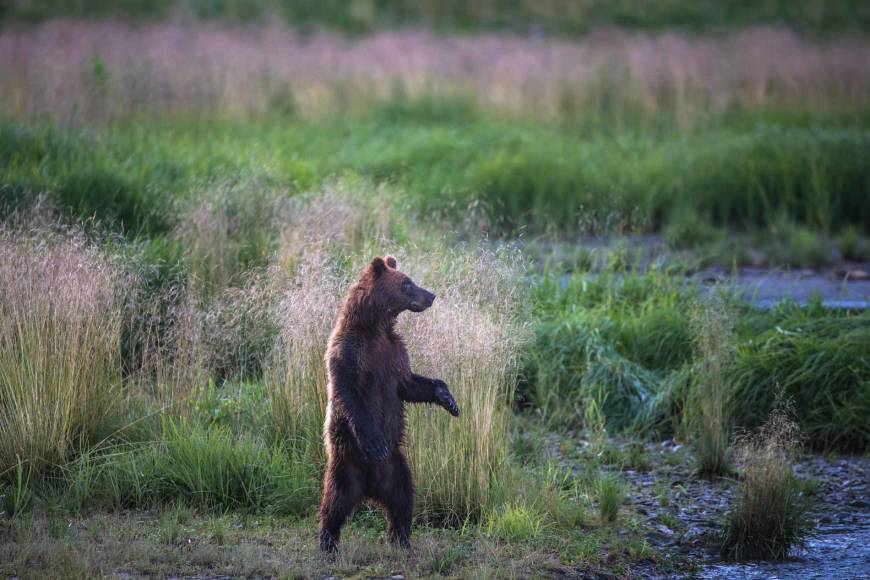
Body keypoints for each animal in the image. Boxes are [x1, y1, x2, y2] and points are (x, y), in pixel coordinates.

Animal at [318, 255, 460, 553]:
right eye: (407, 283)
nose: (431, 295)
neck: (376, 325)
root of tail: (370, 488)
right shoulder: (349, 352)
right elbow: (350, 394)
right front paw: (376, 443)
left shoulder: (394, 353)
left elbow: (409, 385)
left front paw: (449, 400)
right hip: (347, 463)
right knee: (334, 503)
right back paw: (328, 543)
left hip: (397, 468)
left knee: (403, 499)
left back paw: (403, 539)